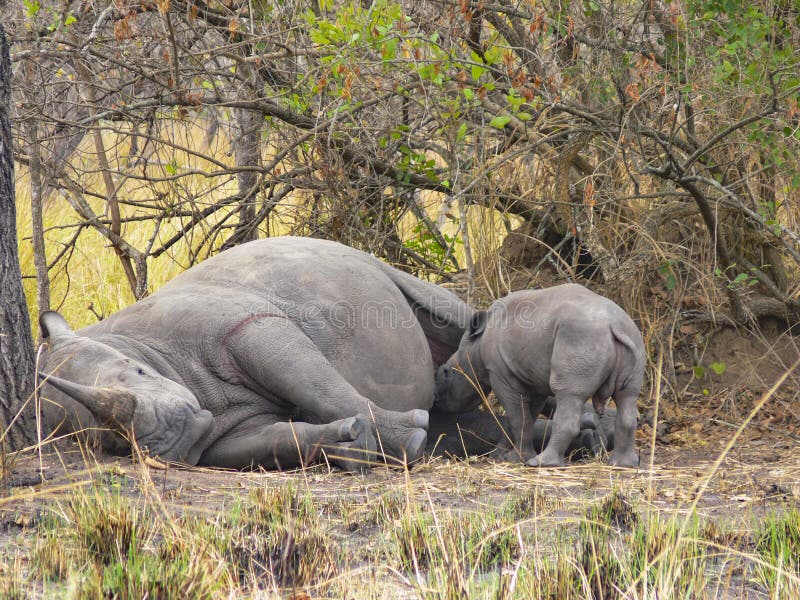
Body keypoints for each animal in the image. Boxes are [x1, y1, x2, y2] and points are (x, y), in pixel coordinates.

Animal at [433, 284, 645, 468]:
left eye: (446, 373)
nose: (436, 401)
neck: (475, 346)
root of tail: (613, 325)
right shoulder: (531, 378)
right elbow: (525, 417)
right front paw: (501, 455)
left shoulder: (500, 373)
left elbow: (518, 418)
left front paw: (518, 458)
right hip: (632, 337)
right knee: (627, 397)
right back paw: (623, 464)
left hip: (582, 338)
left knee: (569, 394)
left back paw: (542, 463)